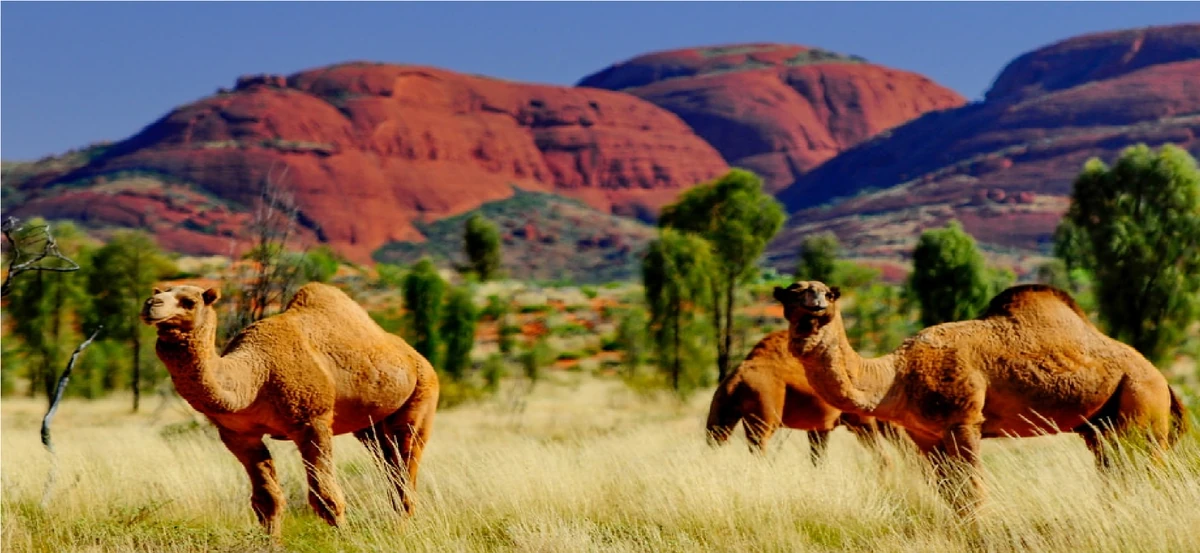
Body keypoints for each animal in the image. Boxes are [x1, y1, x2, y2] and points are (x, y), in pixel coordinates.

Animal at [141, 282, 440, 536]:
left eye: (189, 301)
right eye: (161, 291)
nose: (150, 303)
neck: (255, 375)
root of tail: (415, 357)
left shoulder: (312, 421)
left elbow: (325, 495)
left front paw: (342, 540)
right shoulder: (238, 433)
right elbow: (267, 499)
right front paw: (270, 544)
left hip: (422, 397)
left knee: (405, 466)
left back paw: (403, 531)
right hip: (371, 428)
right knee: (389, 465)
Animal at [706, 330, 906, 464]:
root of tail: (735, 380)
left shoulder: (820, 427)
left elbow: (818, 461)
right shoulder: (861, 421)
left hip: (721, 412)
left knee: (715, 441)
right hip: (763, 416)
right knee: (759, 449)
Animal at [773, 281, 1190, 514]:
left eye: (828, 294)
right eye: (792, 293)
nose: (815, 304)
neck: (896, 377)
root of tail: (1164, 380)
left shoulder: (964, 422)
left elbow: (973, 491)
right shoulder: (924, 436)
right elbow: (950, 495)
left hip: (1141, 406)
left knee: (1146, 471)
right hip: (1101, 426)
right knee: (1115, 473)